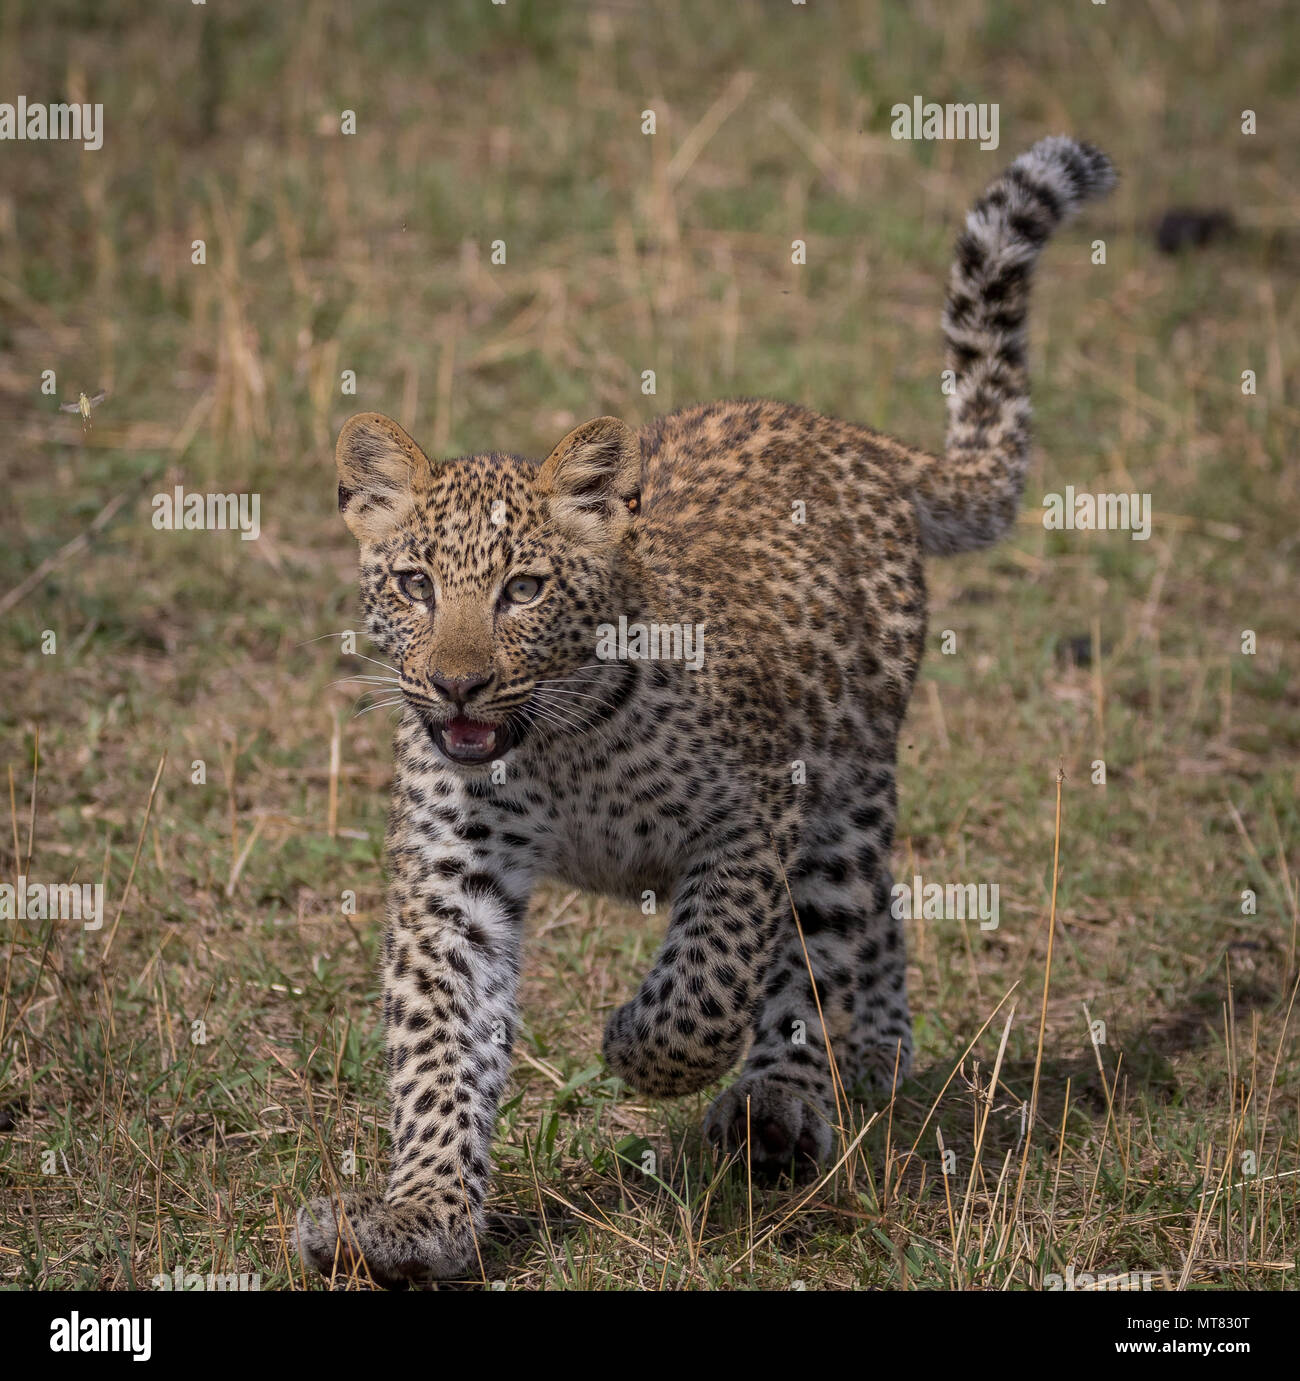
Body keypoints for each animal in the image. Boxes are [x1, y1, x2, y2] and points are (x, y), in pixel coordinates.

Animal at [295, 136, 1115, 1284]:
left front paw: (636, 1046)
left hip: (844, 787)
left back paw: (789, 1099)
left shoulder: (750, 820)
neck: (559, 744)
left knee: (830, 942)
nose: (456, 685)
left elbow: (711, 977)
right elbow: (439, 1045)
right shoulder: (456, 876)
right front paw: (419, 1215)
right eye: (415, 584)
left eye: (523, 590)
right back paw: (872, 1055)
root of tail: (843, 432)